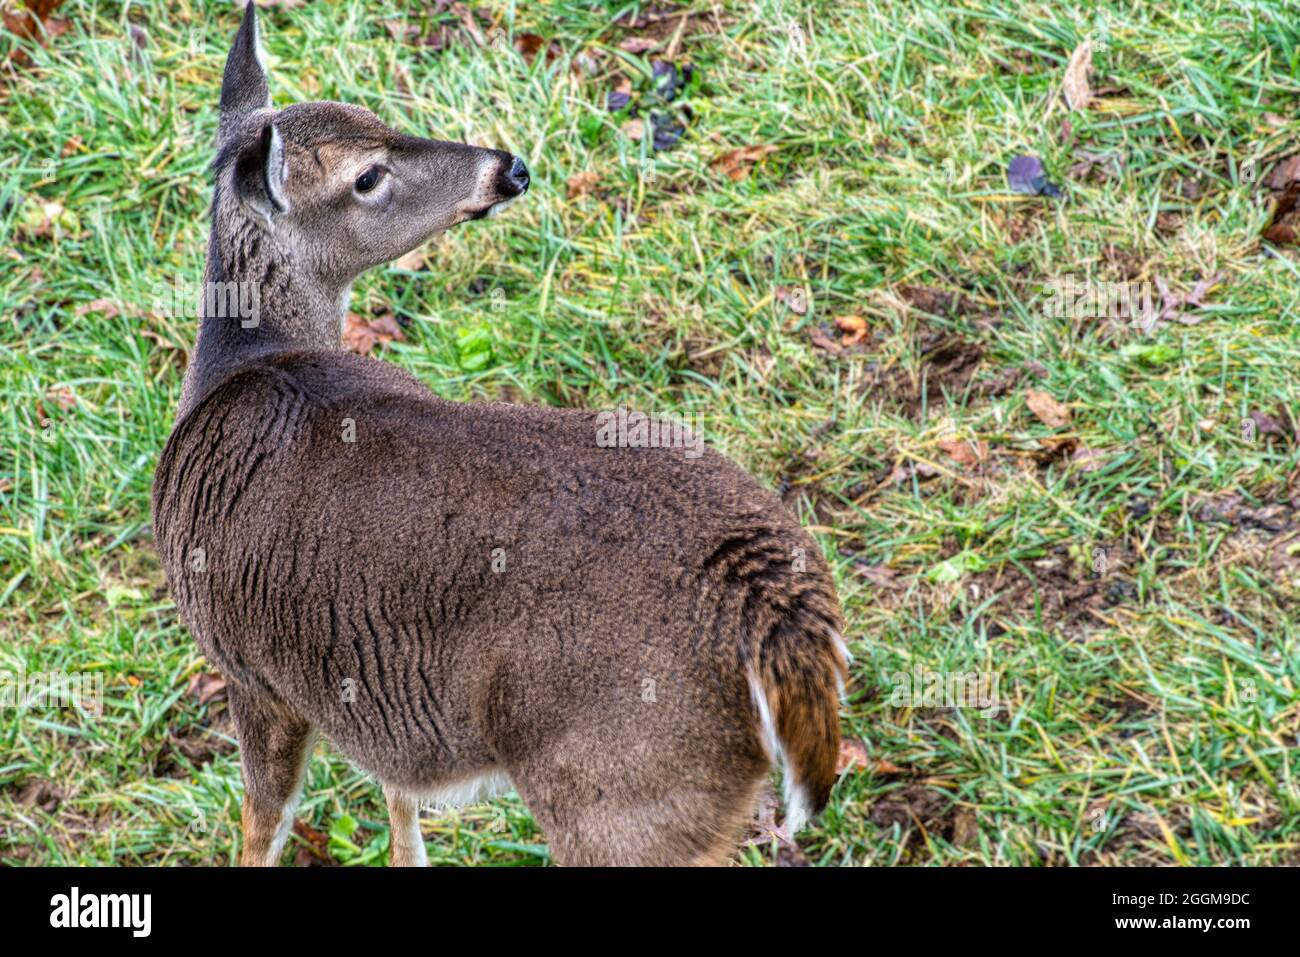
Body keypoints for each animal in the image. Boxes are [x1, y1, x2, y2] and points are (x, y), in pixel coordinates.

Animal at [151, 2, 848, 867]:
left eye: (382, 123)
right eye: (366, 174)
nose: (507, 167)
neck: (239, 368)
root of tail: (776, 608)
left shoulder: (246, 665)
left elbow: (262, 823)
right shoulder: (361, 699)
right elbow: (399, 803)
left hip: (620, 794)